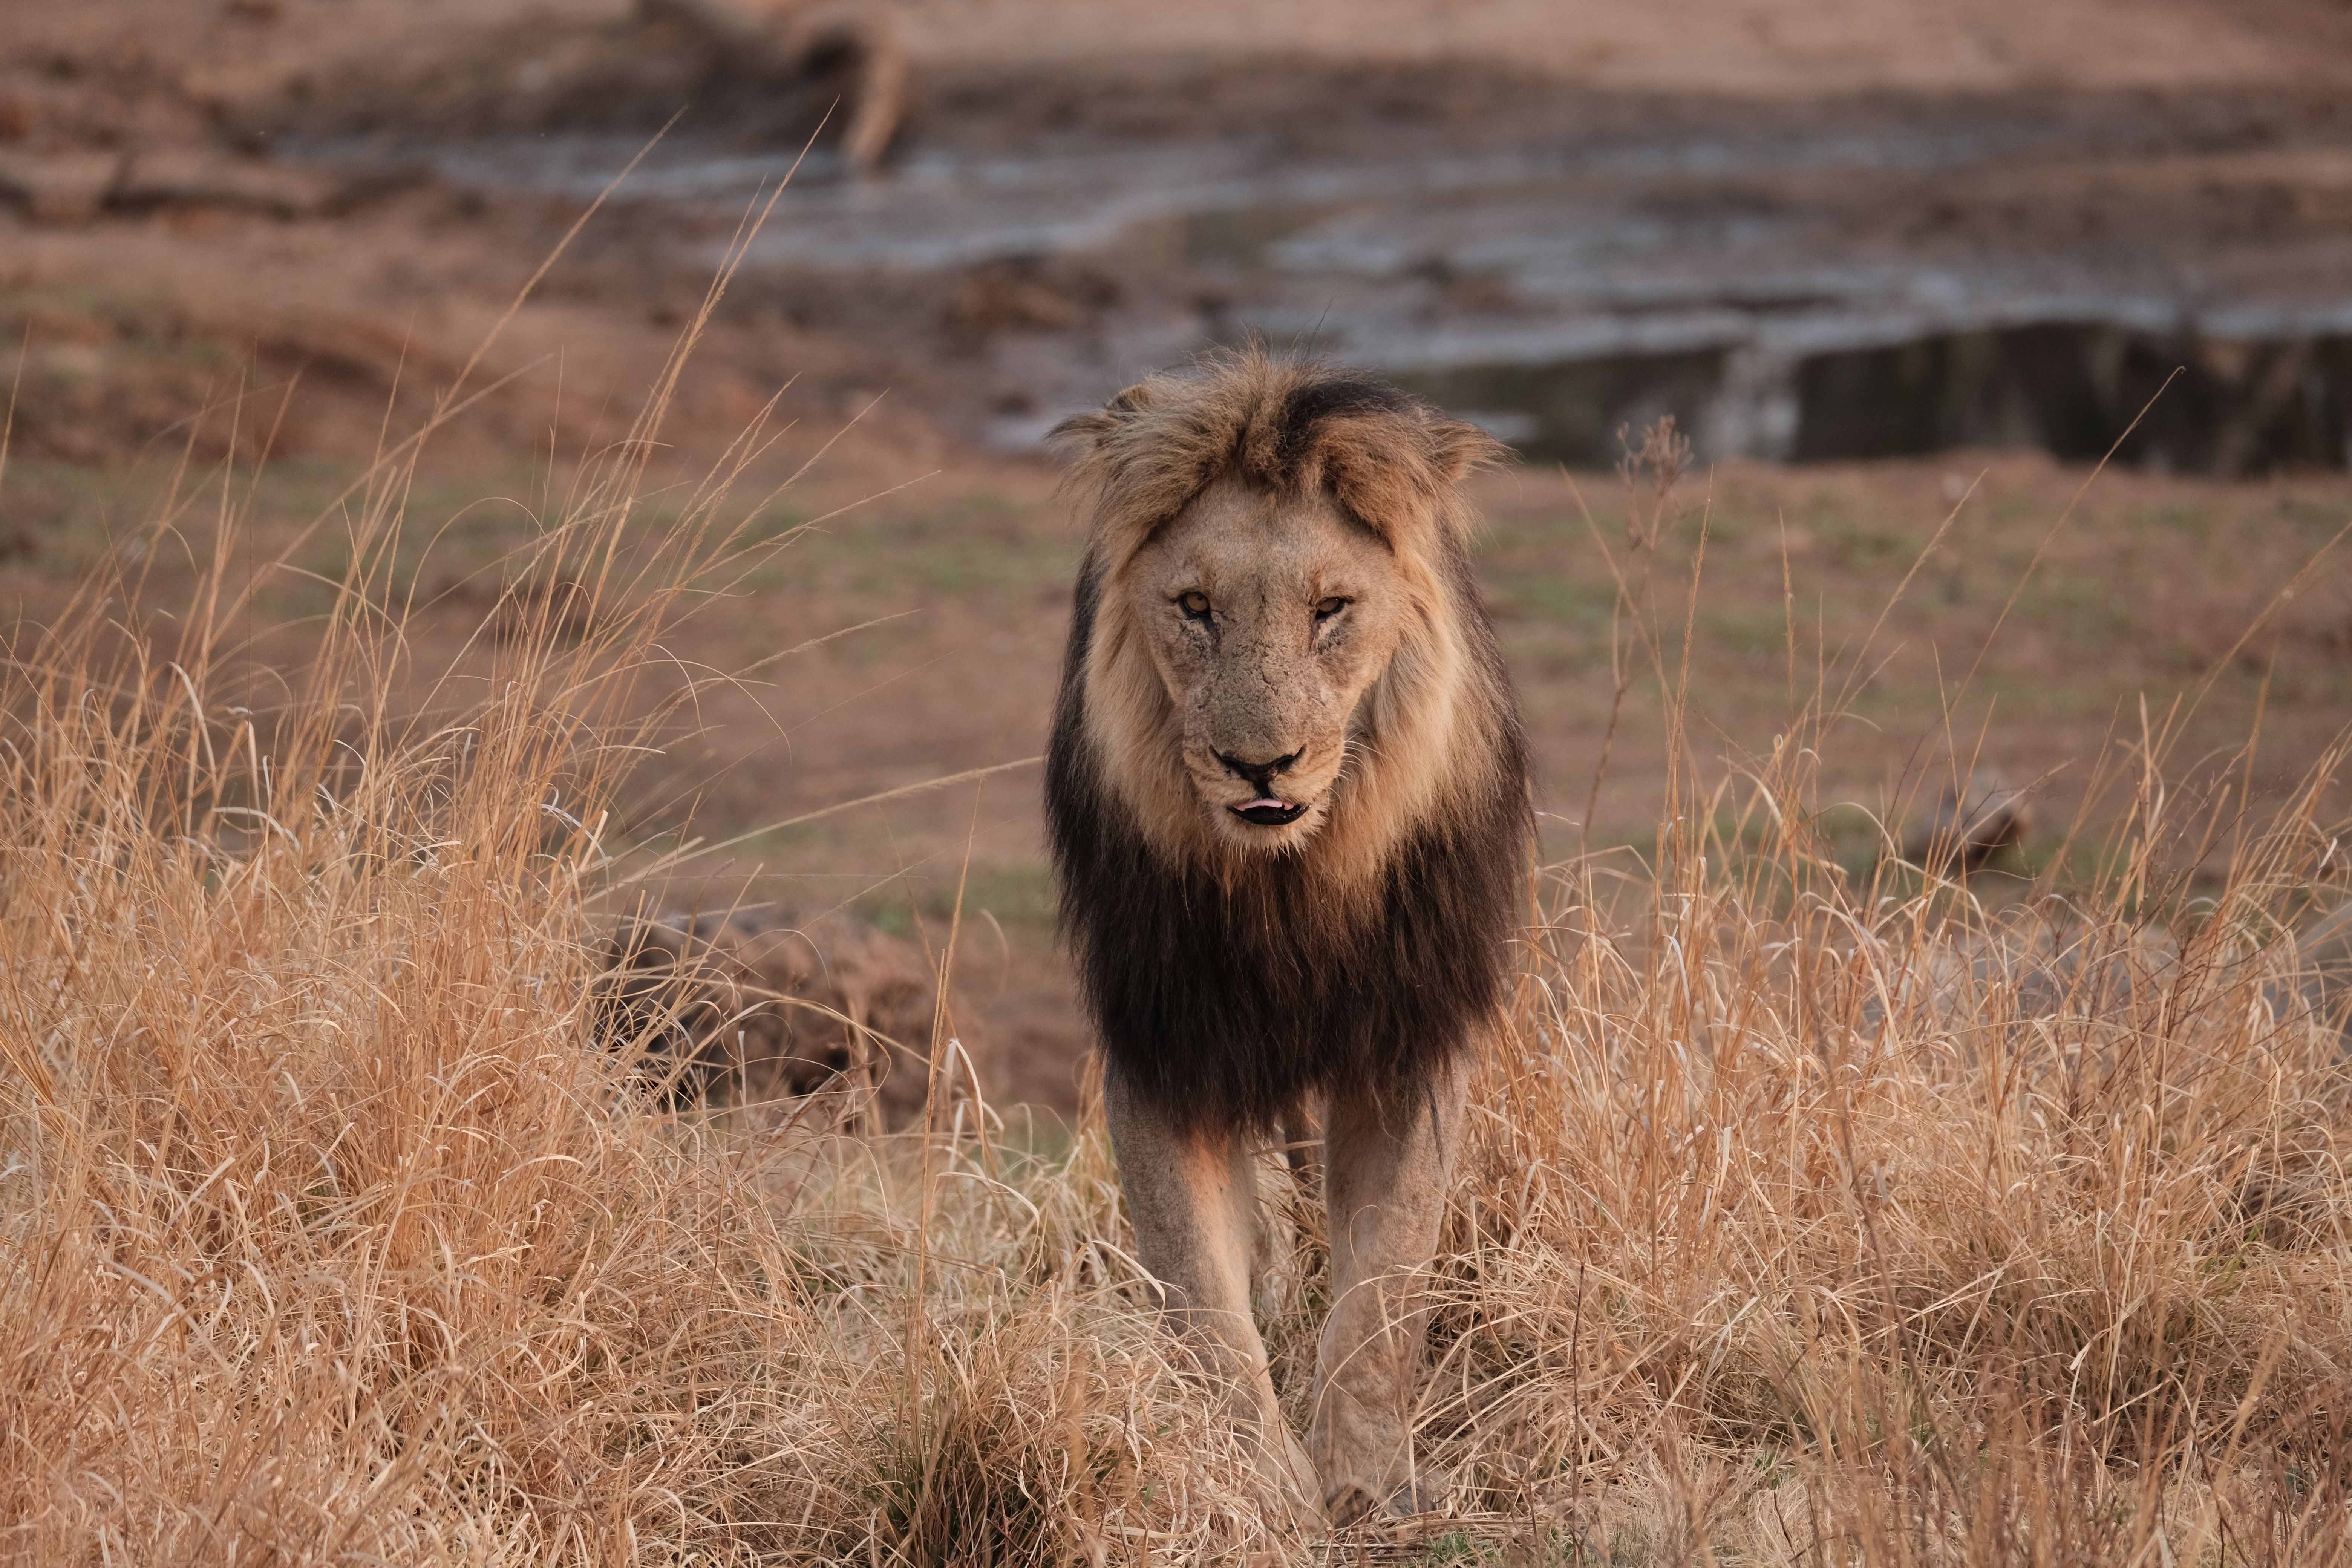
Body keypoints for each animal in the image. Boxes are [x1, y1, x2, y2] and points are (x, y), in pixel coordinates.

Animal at [1046, 353, 1531, 1523]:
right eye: (1195, 608)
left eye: (1331, 610)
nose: (1259, 765)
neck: (1289, 890)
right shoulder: (1163, 1049)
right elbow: (1204, 1303)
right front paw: (1257, 1487)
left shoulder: (1409, 1042)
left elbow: (1385, 1285)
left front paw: (1364, 1479)